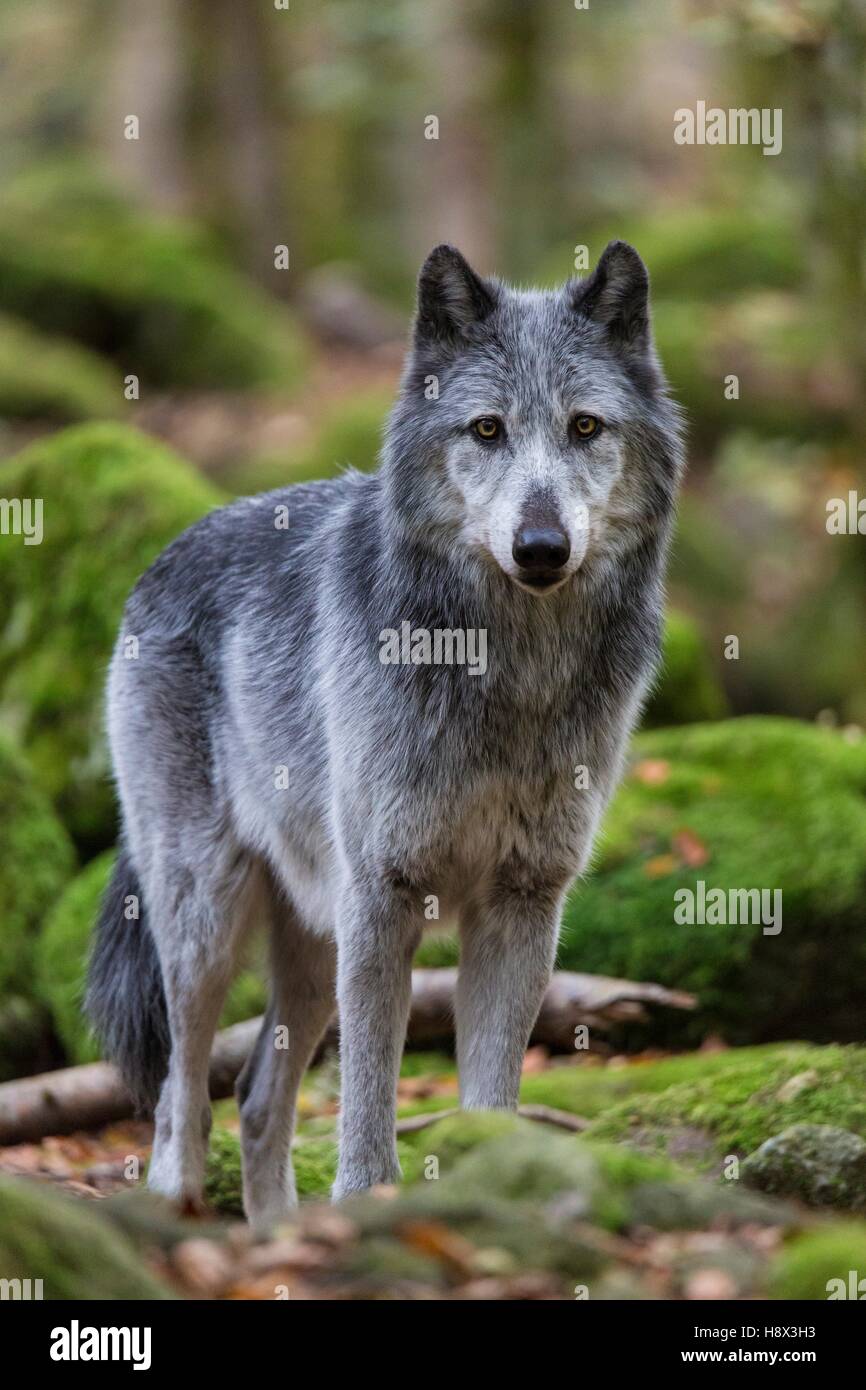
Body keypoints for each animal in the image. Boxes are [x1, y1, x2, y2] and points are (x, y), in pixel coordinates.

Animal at [87, 241, 684, 1228]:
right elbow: (369, 1100)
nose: (541, 546)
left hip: (311, 939)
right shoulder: (384, 896)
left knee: (256, 1099)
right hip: (207, 919)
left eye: (586, 427)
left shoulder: (523, 905)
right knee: (180, 1100)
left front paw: (499, 1184)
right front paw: (370, 1205)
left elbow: (492, 1090)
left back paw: (276, 1234)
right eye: (486, 430)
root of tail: (162, 555)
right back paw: (180, 1210)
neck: (508, 675)